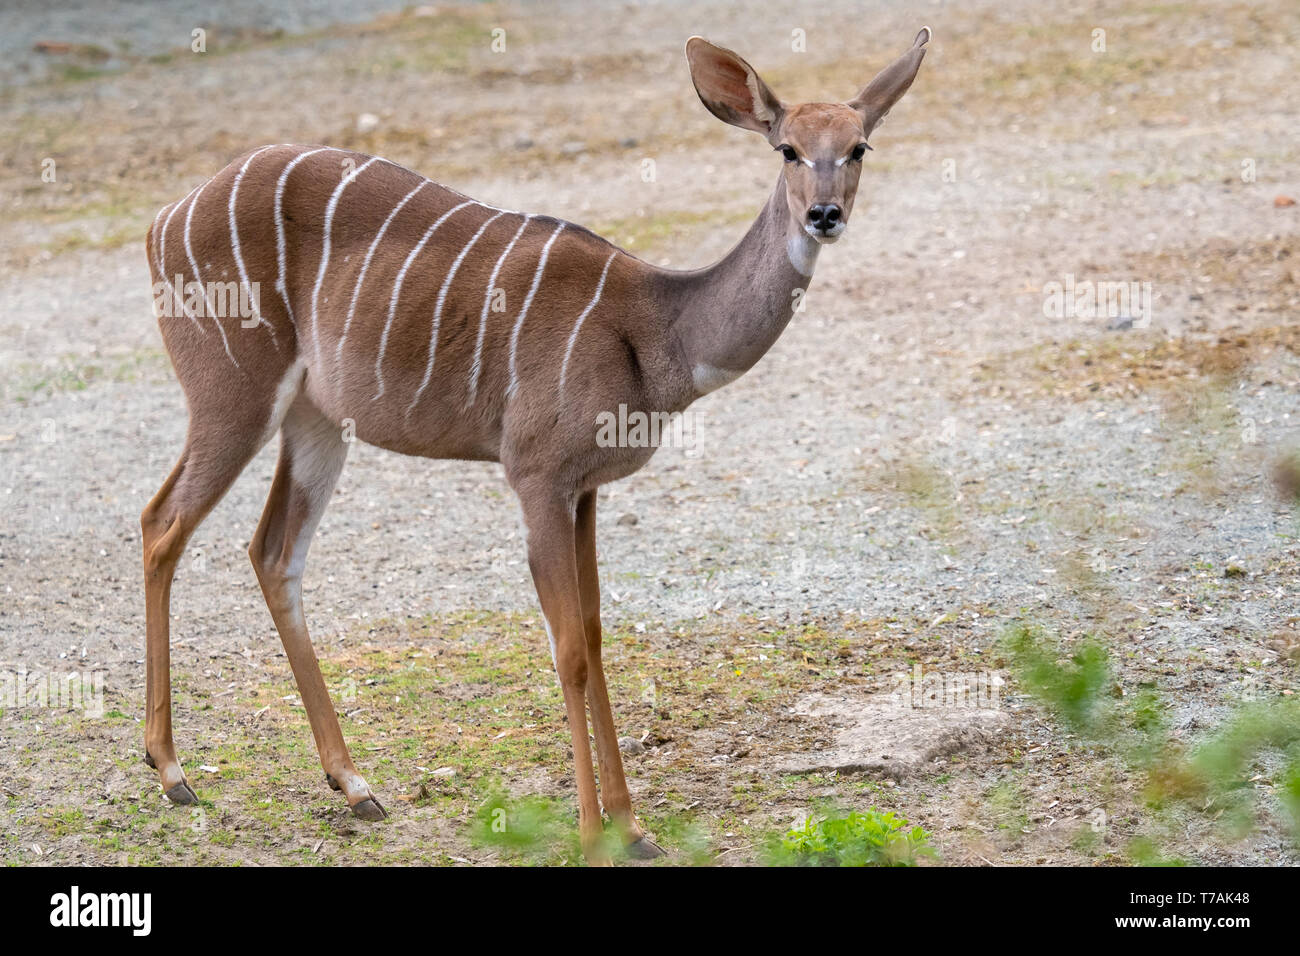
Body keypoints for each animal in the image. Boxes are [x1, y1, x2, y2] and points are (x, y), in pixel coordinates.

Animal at [140, 29, 930, 863]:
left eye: (858, 145)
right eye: (787, 148)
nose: (824, 214)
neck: (656, 329)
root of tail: (163, 219)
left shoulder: (587, 487)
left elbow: (596, 631)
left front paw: (635, 826)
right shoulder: (537, 474)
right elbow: (568, 647)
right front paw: (590, 833)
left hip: (316, 421)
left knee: (272, 551)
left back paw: (355, 786)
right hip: (231, 393)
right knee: (162, 524)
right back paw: (172, 772)